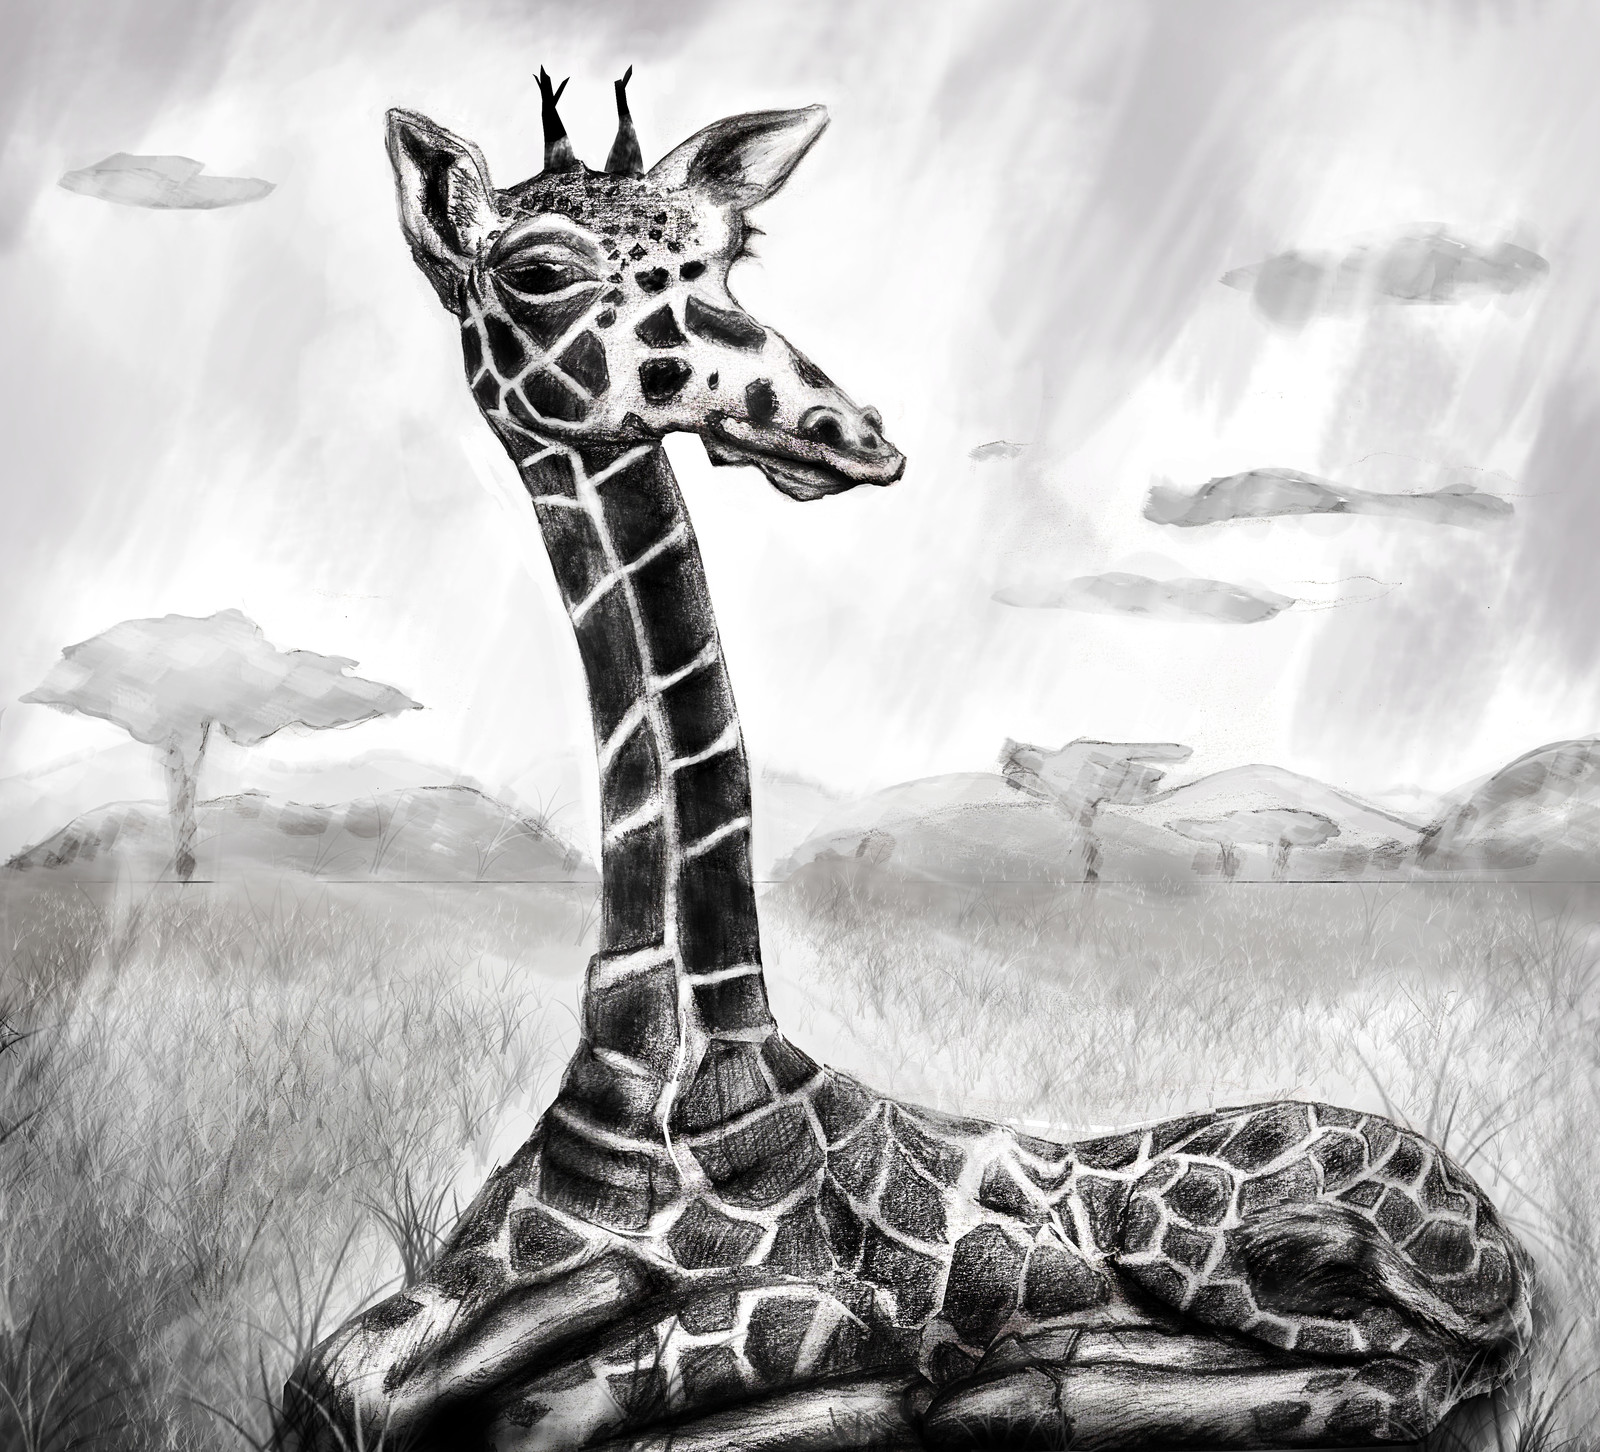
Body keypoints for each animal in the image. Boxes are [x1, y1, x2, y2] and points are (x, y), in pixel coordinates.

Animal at [283, 72, 1535, 1451]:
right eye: (539, 269)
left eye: (728, 251)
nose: (849, 433)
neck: (655, 1089)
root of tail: (1495, 1236)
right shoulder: (469, 1277)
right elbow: (342, 1383)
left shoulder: (831, 1305)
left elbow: (543, 1412)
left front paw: (860, 1400)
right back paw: (1039, 1378)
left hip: (1202, 1241)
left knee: (1401, 1371)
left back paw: (1013, 1391)